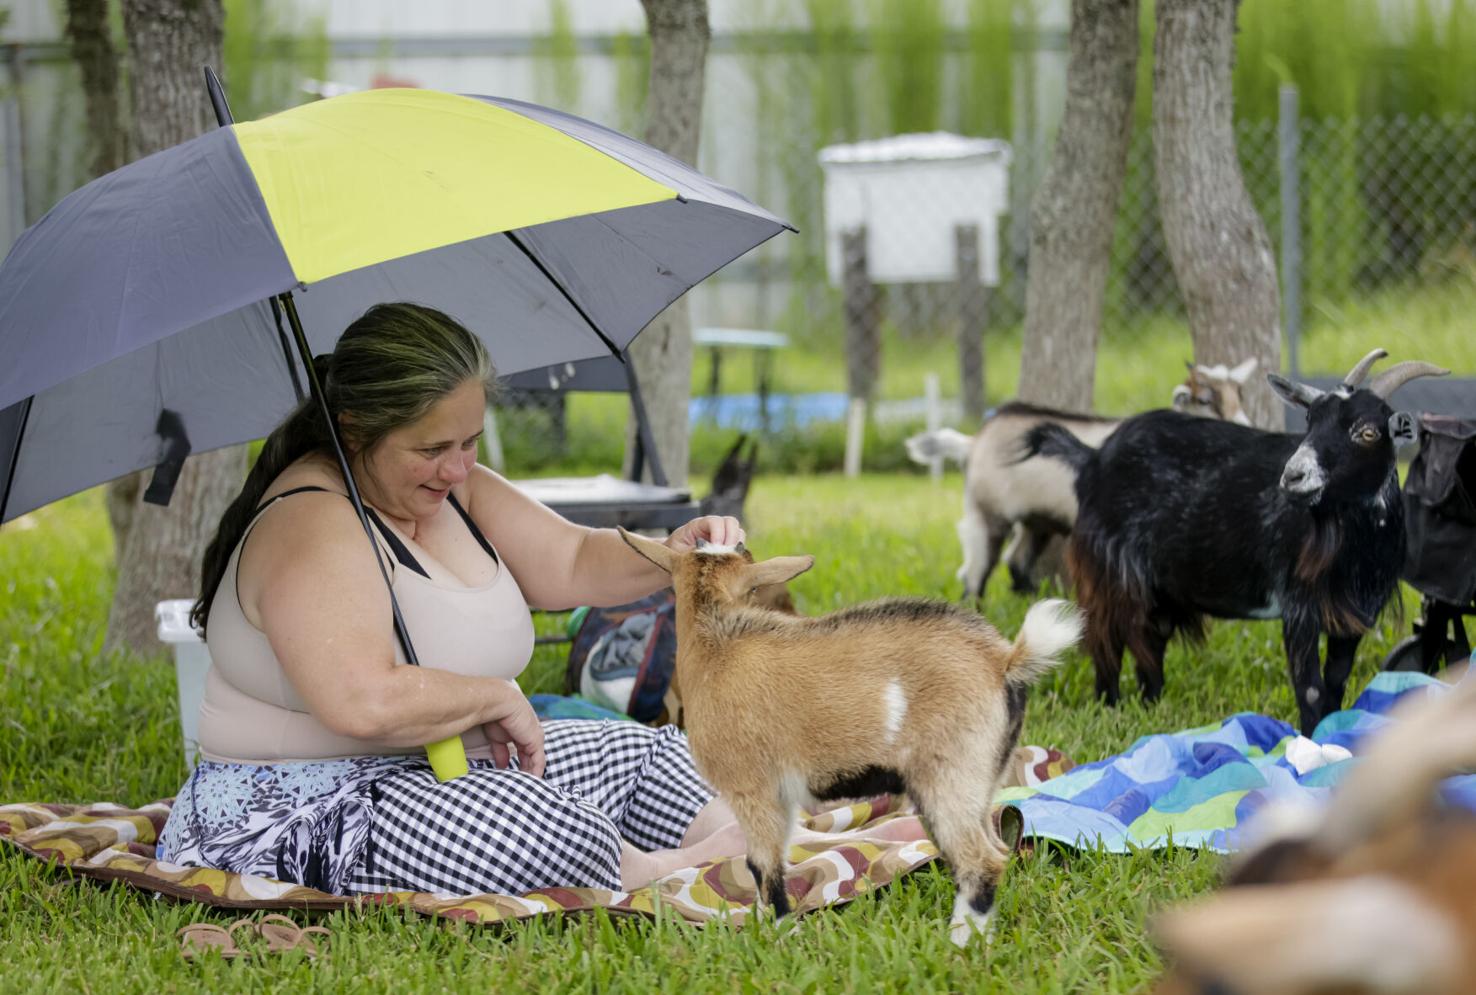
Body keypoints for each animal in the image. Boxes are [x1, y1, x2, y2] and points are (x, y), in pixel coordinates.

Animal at [616, 526, 1082, 946]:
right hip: (982, 778)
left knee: (980, 861)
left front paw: (781, 935)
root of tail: (1004, 659)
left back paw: (958, 946)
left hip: (948, 775)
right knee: (995, 847)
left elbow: (763, 866)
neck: (717, 642)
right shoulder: (783, 795)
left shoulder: (753, 790)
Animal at [905, 360, 1255, 598]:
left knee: (1017, 561)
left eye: (1240, 395)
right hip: (987, 512)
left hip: (1037, 521)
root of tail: (974, 441)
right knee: (975, 572)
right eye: (1205, 400)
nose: (1245, 428)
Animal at [1025, 349, 1447, 735]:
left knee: (1149, 642)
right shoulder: (1298, 605)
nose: (1293, 476)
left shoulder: (1353, 613)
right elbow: (1310, 688)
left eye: (1367, 431)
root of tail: (1093, 458)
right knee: (1106, 641)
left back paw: (1150, 707)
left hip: (1160, 584)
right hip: (1107, 566)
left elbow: (1336, 681)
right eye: (1310, 420)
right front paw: (1310, 741)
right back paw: (1109, 705)